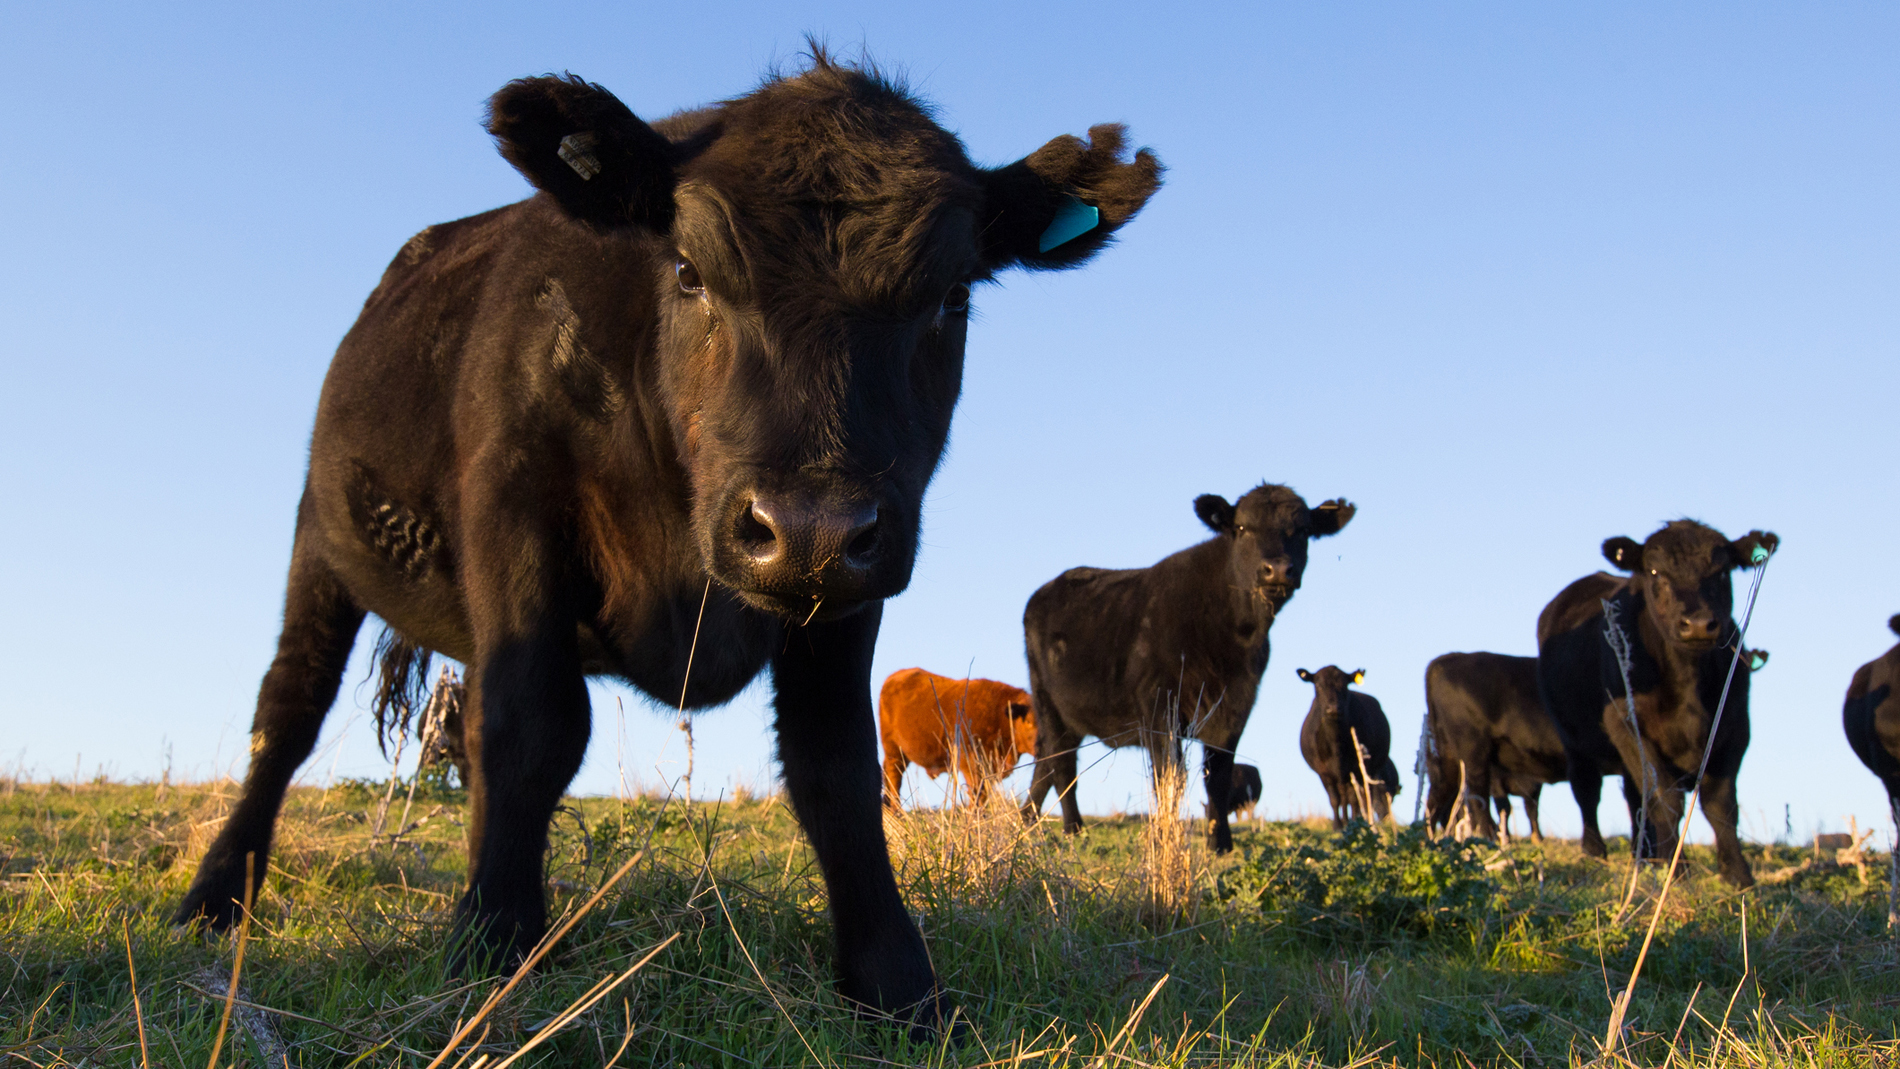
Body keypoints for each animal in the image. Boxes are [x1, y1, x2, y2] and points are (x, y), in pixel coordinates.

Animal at [1022, 484, 1354, 852]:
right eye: (1242, 527)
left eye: (1304, 530)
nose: (1278, 569)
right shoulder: (1157, 707)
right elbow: (1169, 777)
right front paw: (1164, 836)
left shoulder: (1235, 708)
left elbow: (1218, 778)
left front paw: (1220, 844)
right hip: (1048, 702)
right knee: (1061, 763)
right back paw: (1073, 829)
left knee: (1045, 762)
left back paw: (1027, 821)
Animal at [1296, 667, 1401, 828]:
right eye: (1318, 685)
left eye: (1344, 685)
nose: (1333, 708)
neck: (1336, 745)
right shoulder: (1324, 772)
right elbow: (1335, 799)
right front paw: (1338, 826)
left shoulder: (1356, 769)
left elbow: (1354, 799)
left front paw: (1354, 822)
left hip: (1369, 771)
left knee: (1363, 796)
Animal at [1536, 521, 1776, 887]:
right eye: (1655, 571)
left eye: (1723, 571)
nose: (1697, 624)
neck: (1688, 680)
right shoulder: (1626, 725)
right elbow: (1666, 799)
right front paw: (1677, 871)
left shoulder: (1734, 729)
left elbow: (1720, 804)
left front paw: (1737, 874)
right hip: (1574, 740)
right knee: (1587, 790)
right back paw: (1595, 853)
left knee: (1634, 795)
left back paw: (1644, 855)